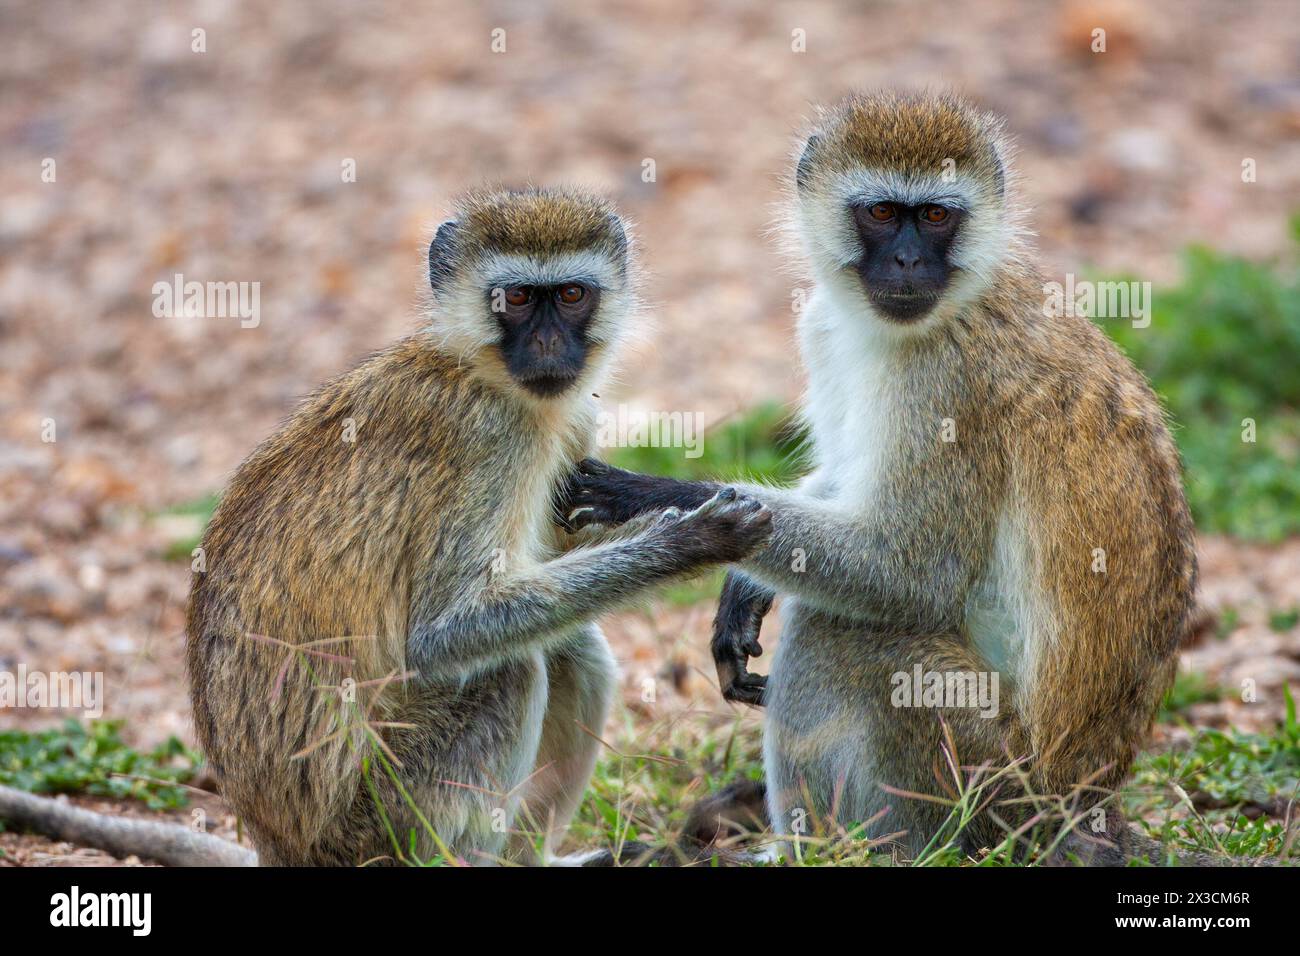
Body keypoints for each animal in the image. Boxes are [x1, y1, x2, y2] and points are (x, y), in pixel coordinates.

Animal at [0, 188, 771, 867]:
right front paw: (690, 541)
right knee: (511, 667)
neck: (481, 371)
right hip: (377, 818)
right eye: (519, 299)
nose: (552, 345)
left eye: (573, 295)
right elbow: (442, 631)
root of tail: (283, 847)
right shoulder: (487, 437)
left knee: (568, 646)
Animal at [559, 91, 1201, 864]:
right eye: (883, 213)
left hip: (990, 779)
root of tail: (1086, 804)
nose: (906, 259)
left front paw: (663, 499)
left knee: (841, 630)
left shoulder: (948, 380)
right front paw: (741, 580)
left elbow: (912, 571)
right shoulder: (825, 329)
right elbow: (843, 478)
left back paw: (827, 847)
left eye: (936, 216)